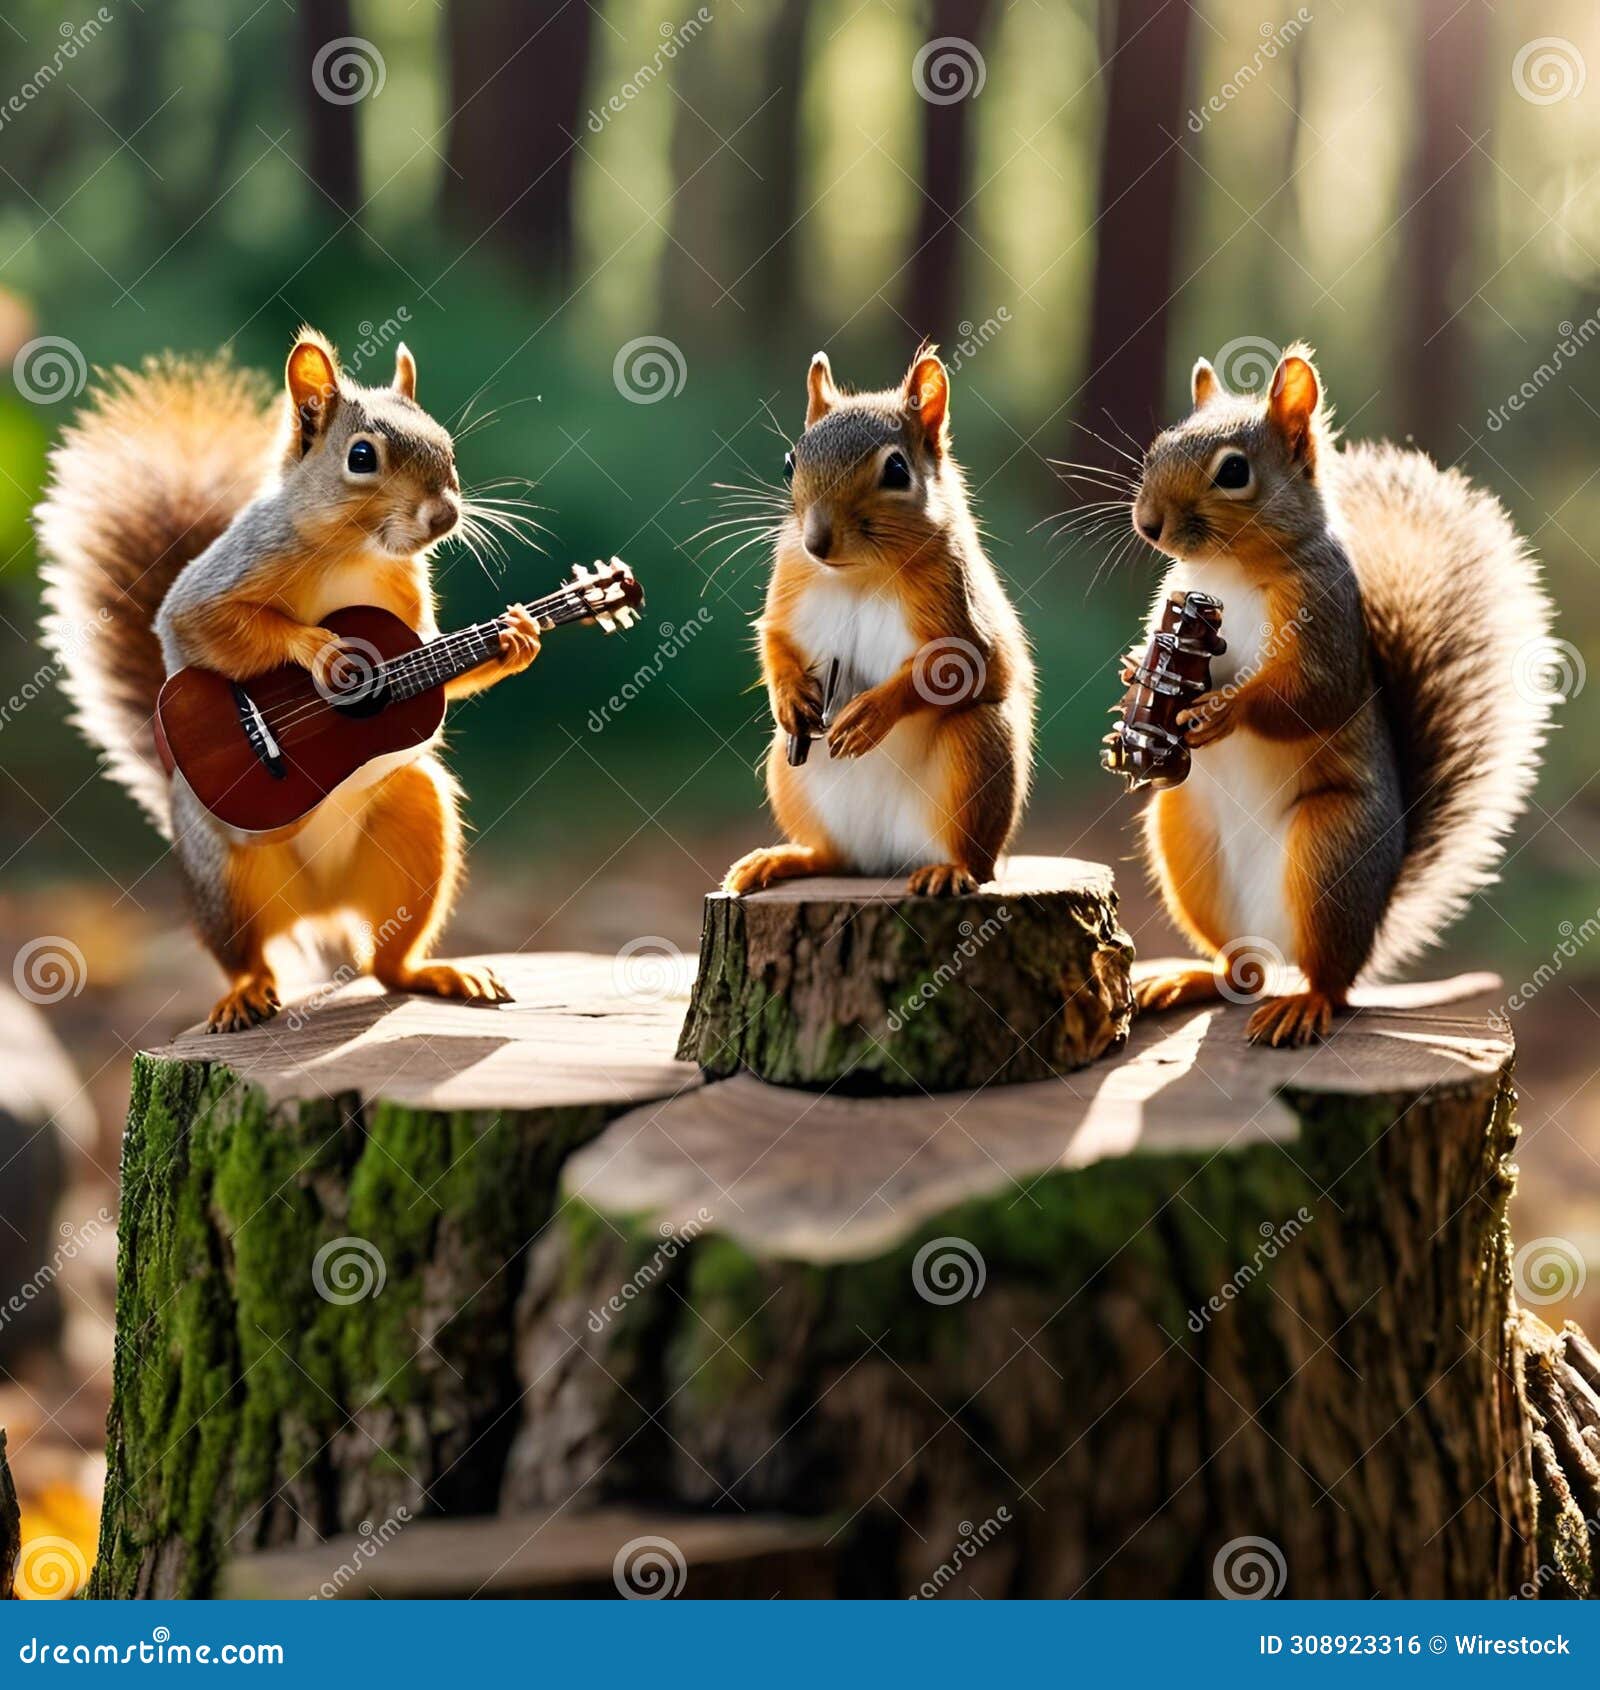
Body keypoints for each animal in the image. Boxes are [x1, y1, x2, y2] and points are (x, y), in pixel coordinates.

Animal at [36, 329, 543, 1032]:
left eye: (447, 445)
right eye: (362, 457)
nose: (445, 516)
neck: (358, 549)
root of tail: (320, 905)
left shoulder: (412, 615)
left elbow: (440, 666)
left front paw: (517, 638)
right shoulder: (220, 583)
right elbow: (198, 623)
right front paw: (324, 652)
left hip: (414, 821)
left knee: (384, 963)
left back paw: (435, 973)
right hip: (223, 876)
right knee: (246, 954)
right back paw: (246, 992)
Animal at [724, 345, 1034, 898]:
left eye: (896, 471)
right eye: (790, 462)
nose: (816, 541)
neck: (859, 574)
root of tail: (884, 860)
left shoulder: (962, 616)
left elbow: (951, 670)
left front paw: (871, 714)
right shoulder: (790, 581)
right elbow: (775, 640)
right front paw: (788, 695)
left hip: (978, 753)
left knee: (974, 862)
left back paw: (950, 871)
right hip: (787, 771)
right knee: (831, 854)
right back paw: (782, 859)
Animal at [1125, 342, 1552, 1046]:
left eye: (1234, 470)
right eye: (1158, 448)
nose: (1148, 523)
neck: (1227, 572)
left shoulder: (1326, 622)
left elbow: (1311, 697)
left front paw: (1224, 709)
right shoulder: (1175, 597)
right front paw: (1133, 676)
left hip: (1331, 850)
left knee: (1329, 979)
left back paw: (1305, 1004)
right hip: (1184, 833)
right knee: (1239, 970)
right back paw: (1188, 979)